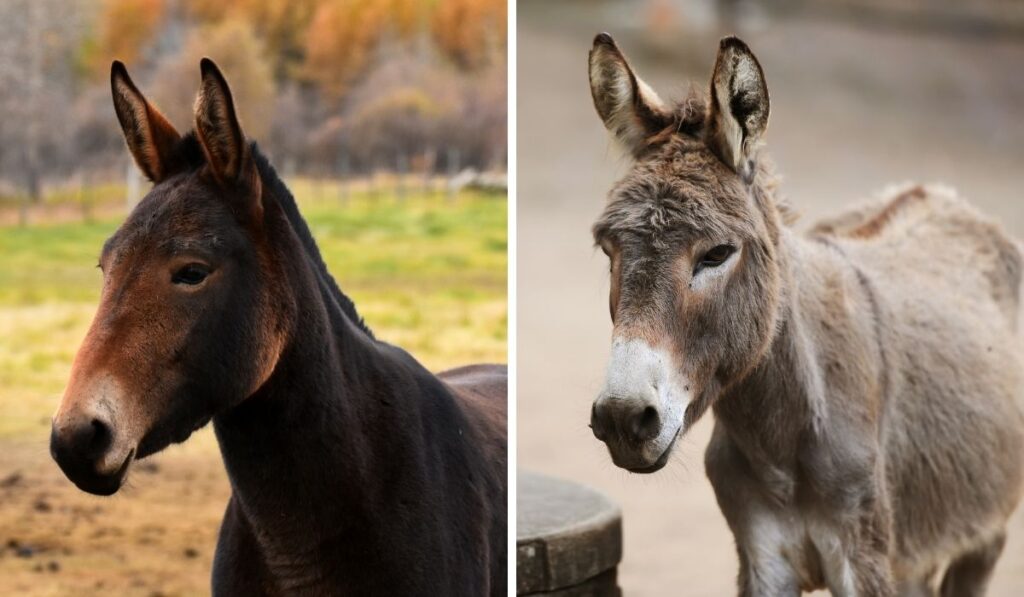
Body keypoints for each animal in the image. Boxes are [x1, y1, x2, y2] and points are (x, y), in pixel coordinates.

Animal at [586, 34, 1023, 596]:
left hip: (982, 534)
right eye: (608, 249)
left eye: (717, 254)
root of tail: (940, 193)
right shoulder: (762, 555)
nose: (623, 418)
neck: (779, 440)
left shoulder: (865, 559)